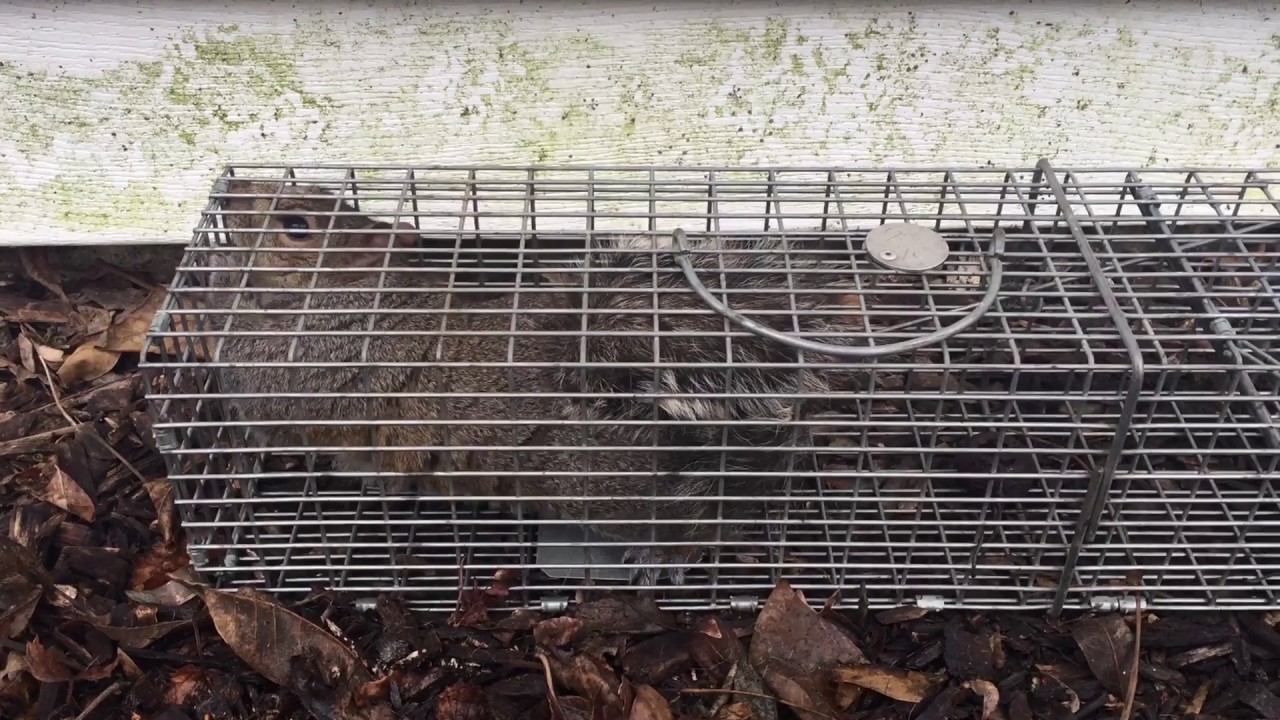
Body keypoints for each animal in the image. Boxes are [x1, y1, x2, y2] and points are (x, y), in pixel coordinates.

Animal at [202, 178, 886, 585]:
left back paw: (670, 552)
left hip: (597, 483)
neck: (353, 292)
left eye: (294, 222)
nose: (229, 188)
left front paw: (220, 274)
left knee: (706, 513)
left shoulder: (313, 357)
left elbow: (246, 371)